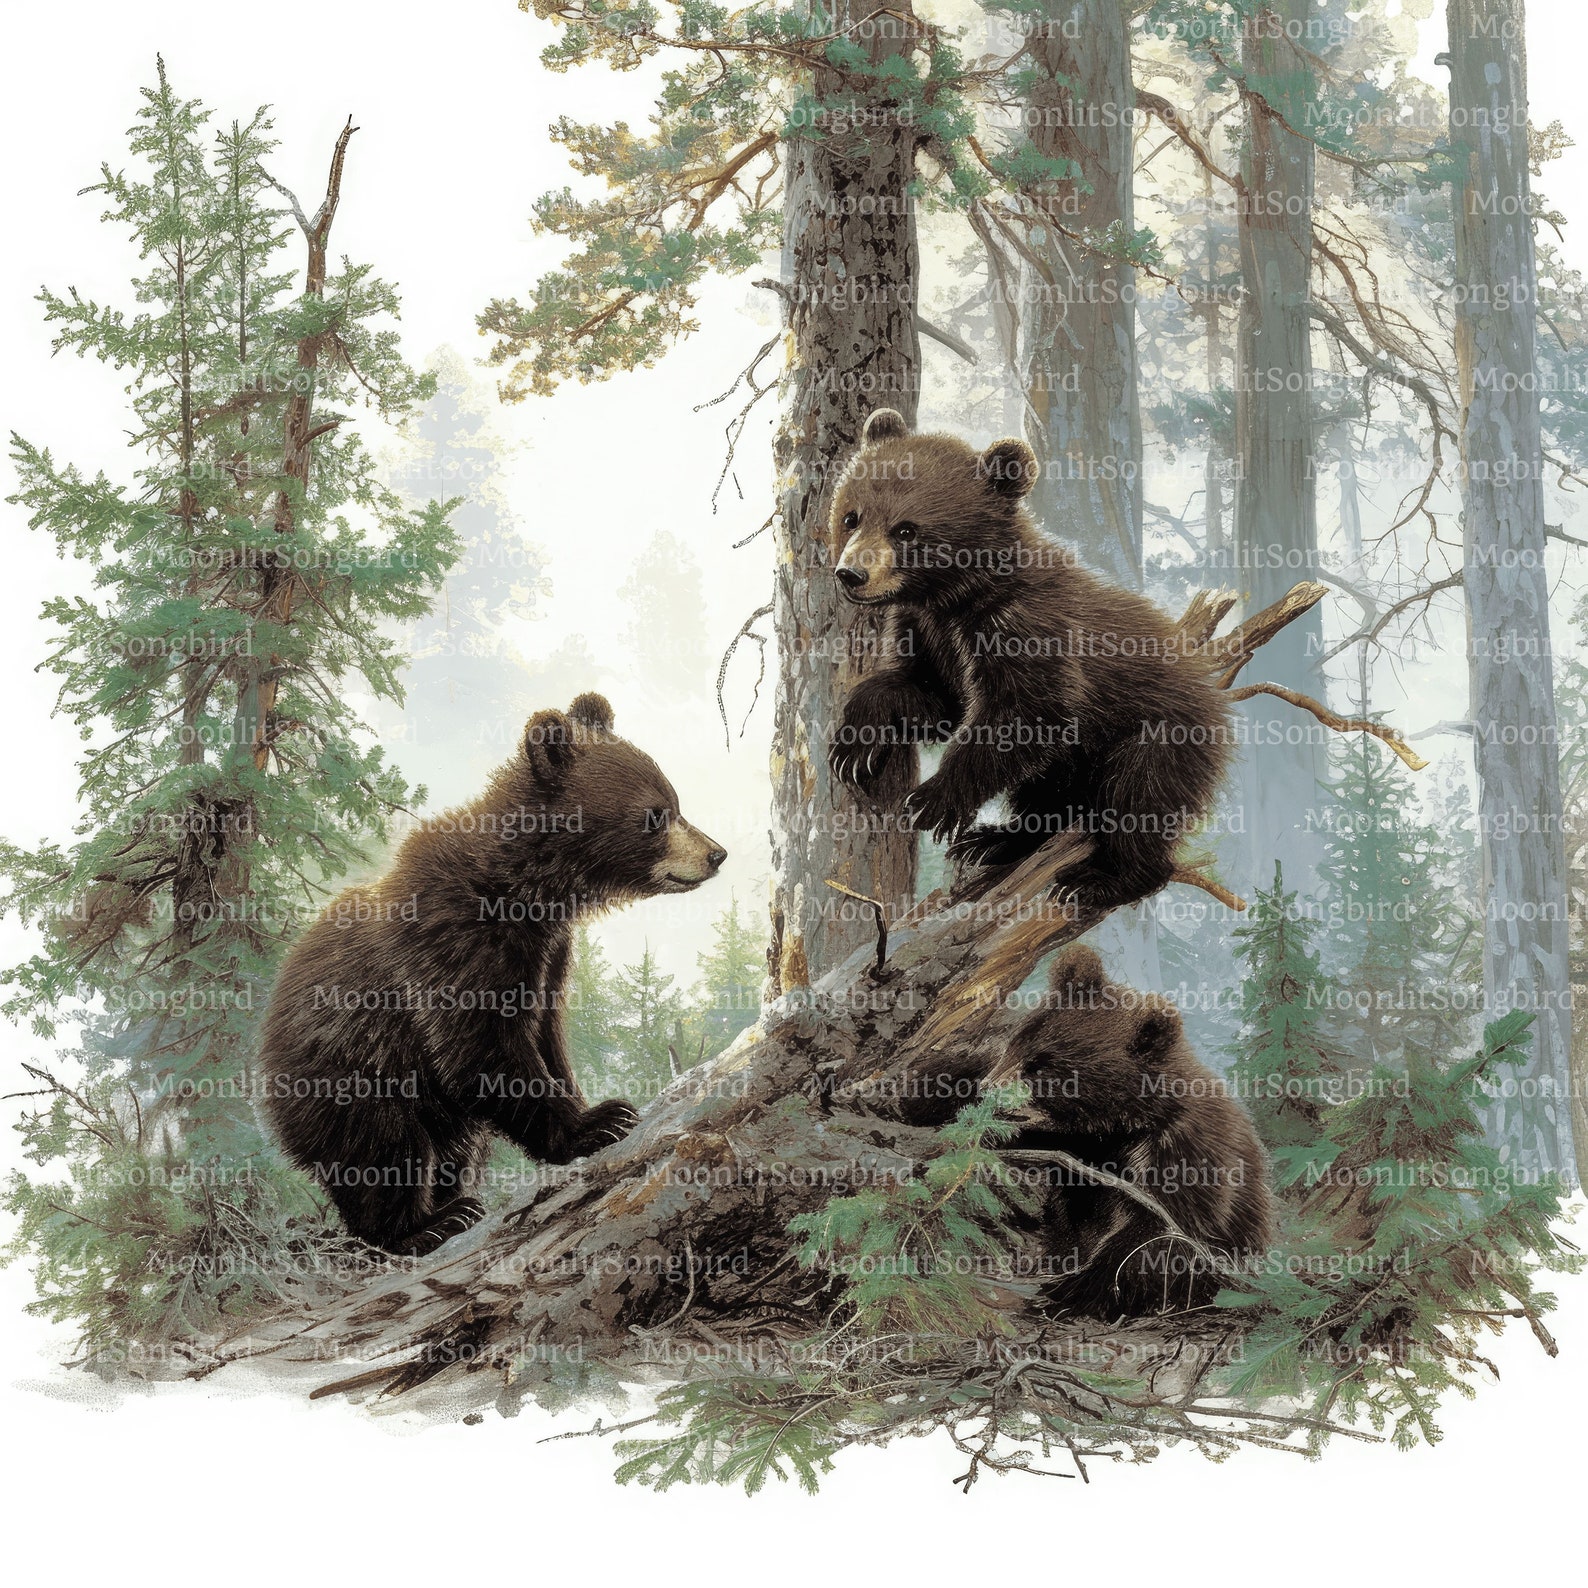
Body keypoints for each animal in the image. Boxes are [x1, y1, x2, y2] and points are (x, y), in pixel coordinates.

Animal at [259, 692, 726, 1257]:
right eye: (656, 814)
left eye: (676, 802)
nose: (716, 854)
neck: (526, 890)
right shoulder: (455, 946)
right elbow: (479, 1049)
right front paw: (596, 1123)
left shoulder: (548, 955)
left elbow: (545, 1035)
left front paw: (593, 1106)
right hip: (351, 1074)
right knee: (384, 1150)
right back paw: (427, 1225)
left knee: (454, 1148)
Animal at [827, 407, 1230, 908]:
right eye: (851, 516)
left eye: (905, 529)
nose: (851, 574)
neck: (954, 597)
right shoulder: (925, 631)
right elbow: (935, 698)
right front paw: (854, 742)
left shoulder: (1030, 630)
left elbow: (1028, 715)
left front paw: (933, 800)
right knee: (1045, 794)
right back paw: (999, 840)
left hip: (1166, 736)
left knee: (1138, 795)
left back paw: (1103, 878)